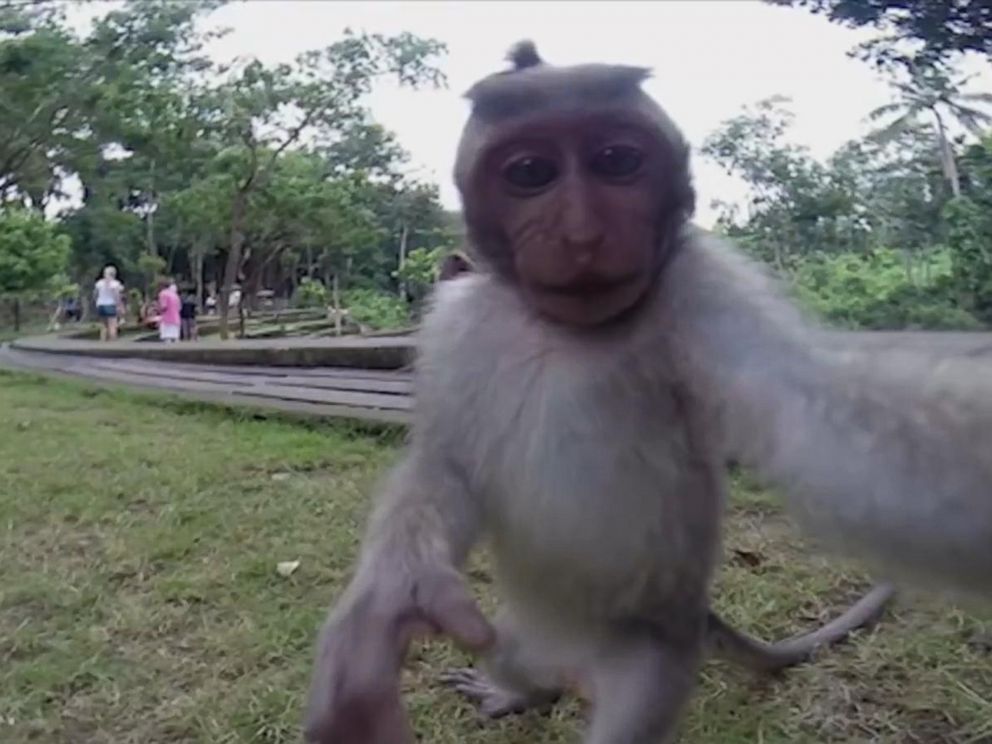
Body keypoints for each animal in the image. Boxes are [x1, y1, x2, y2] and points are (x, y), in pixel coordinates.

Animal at [304, 41, 992, 744]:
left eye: (617, 162)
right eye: (531, 172)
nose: (581, 234)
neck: (568, 331)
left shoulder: (707, 288)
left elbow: (825, 423)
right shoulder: (456, 322)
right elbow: (445, 465)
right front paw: (388, 610)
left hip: (651, 657)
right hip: (520, 628)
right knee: (508, 652)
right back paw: (521, 691)